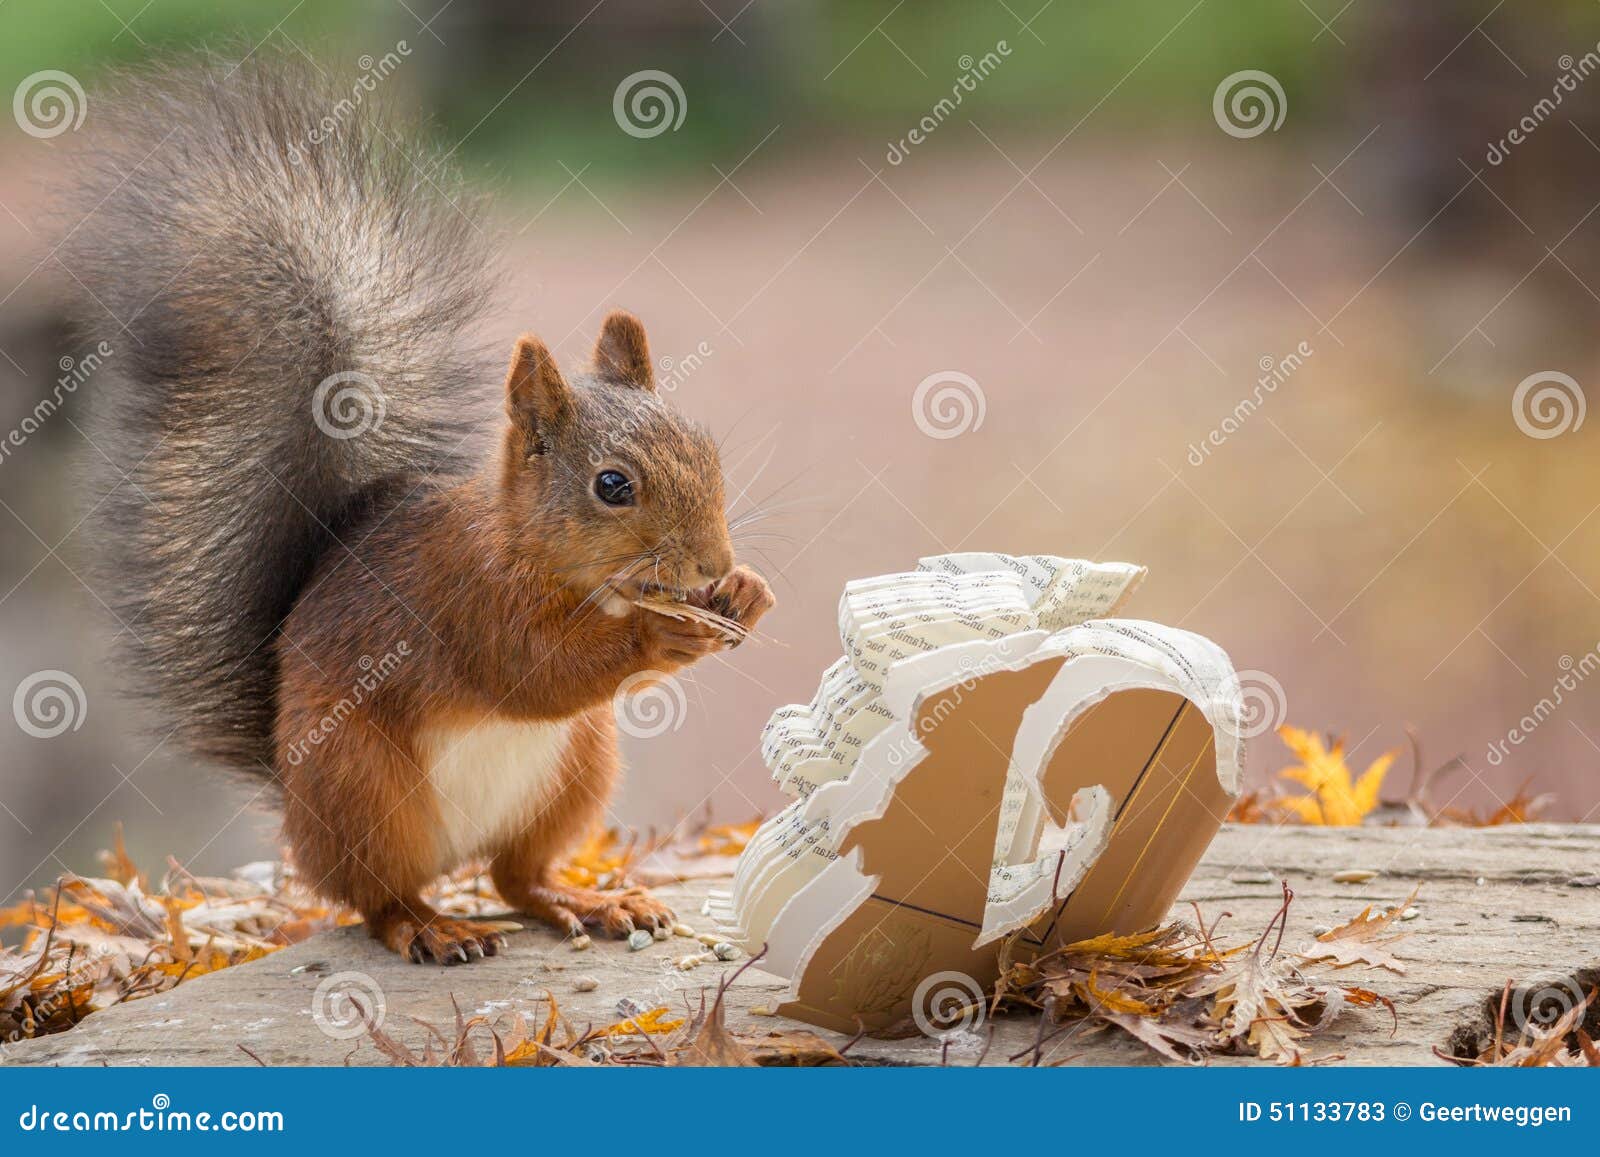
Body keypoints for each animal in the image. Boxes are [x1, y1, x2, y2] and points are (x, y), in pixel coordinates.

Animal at [61, 57, 776, 964]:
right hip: (365, 785)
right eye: (612, 485)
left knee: (517, 875)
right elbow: (533, 668)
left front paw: (745, 594)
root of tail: (292, 794)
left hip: (577, 769)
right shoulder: (464, 595)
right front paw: (660, 635)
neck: (552, 563)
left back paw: (591, 900)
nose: (713, 563)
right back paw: (432, 927)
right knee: (377, 896)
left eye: (707, 450)